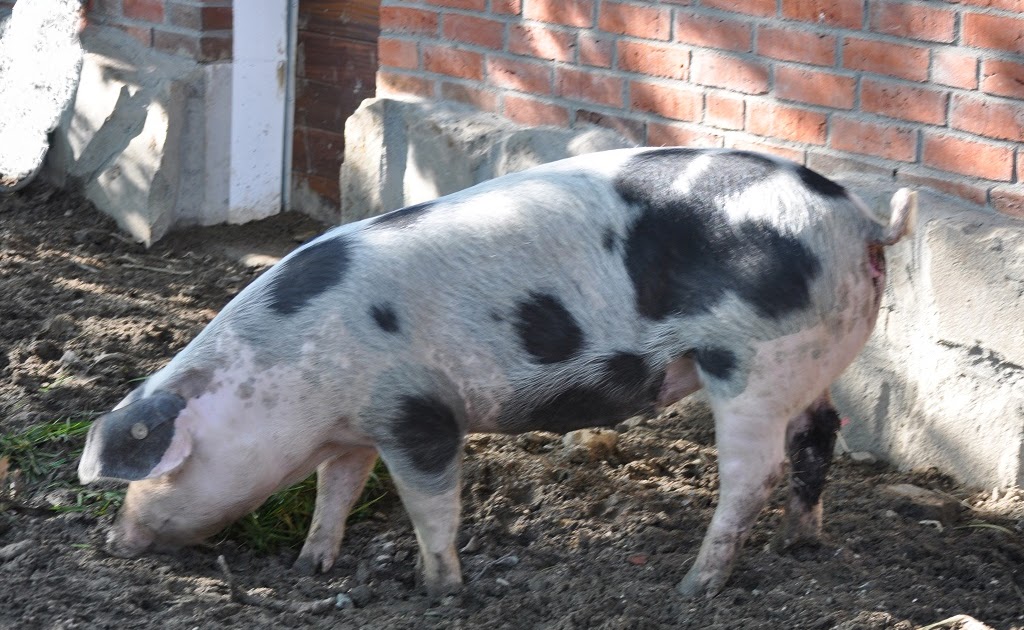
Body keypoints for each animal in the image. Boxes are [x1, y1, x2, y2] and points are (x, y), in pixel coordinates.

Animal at [78, 147, 917, 599]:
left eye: (156, 470)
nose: (114, 543)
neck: (284, 373)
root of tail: (864, 222)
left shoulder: (418, 414)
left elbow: (429, 503)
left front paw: (438, 588)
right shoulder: (356, 425)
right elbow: (336, 490)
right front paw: (313, 564)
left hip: (753, 362)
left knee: (755, 471)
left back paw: (692, 586)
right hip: (813, 359)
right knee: (819, 433)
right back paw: (799, 545)